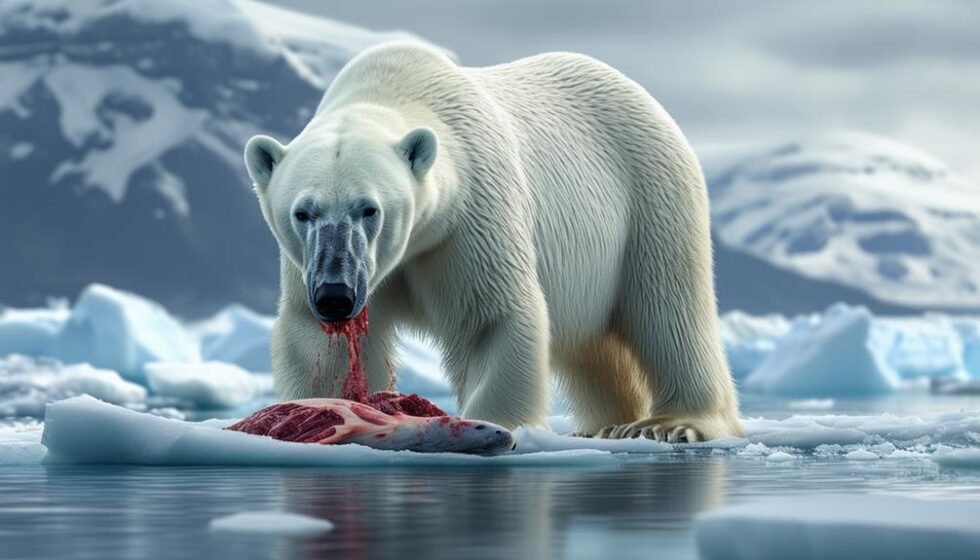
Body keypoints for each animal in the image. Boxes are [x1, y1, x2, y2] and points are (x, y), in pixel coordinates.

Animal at [244, 42, 743, 442]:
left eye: (369, 209)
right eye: (303, 212)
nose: (336, 294)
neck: (392, 86)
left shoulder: (471, 214)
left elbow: (493, 316)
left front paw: (492, 426)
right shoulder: (310, 264)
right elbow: (317, 341)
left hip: (650, 196)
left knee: (668, 309)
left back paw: (672, 423)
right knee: (594, 346)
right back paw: (601, 424)